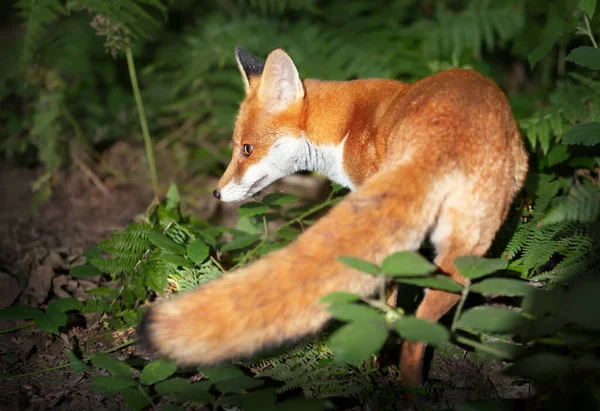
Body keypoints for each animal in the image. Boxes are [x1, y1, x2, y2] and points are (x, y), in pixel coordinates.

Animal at [138, 46, 528, 388]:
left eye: (247, 149)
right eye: (235, 148)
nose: (216, 195)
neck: (346, 126)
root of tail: (444, 137)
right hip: (465, 257)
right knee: (419, 335)